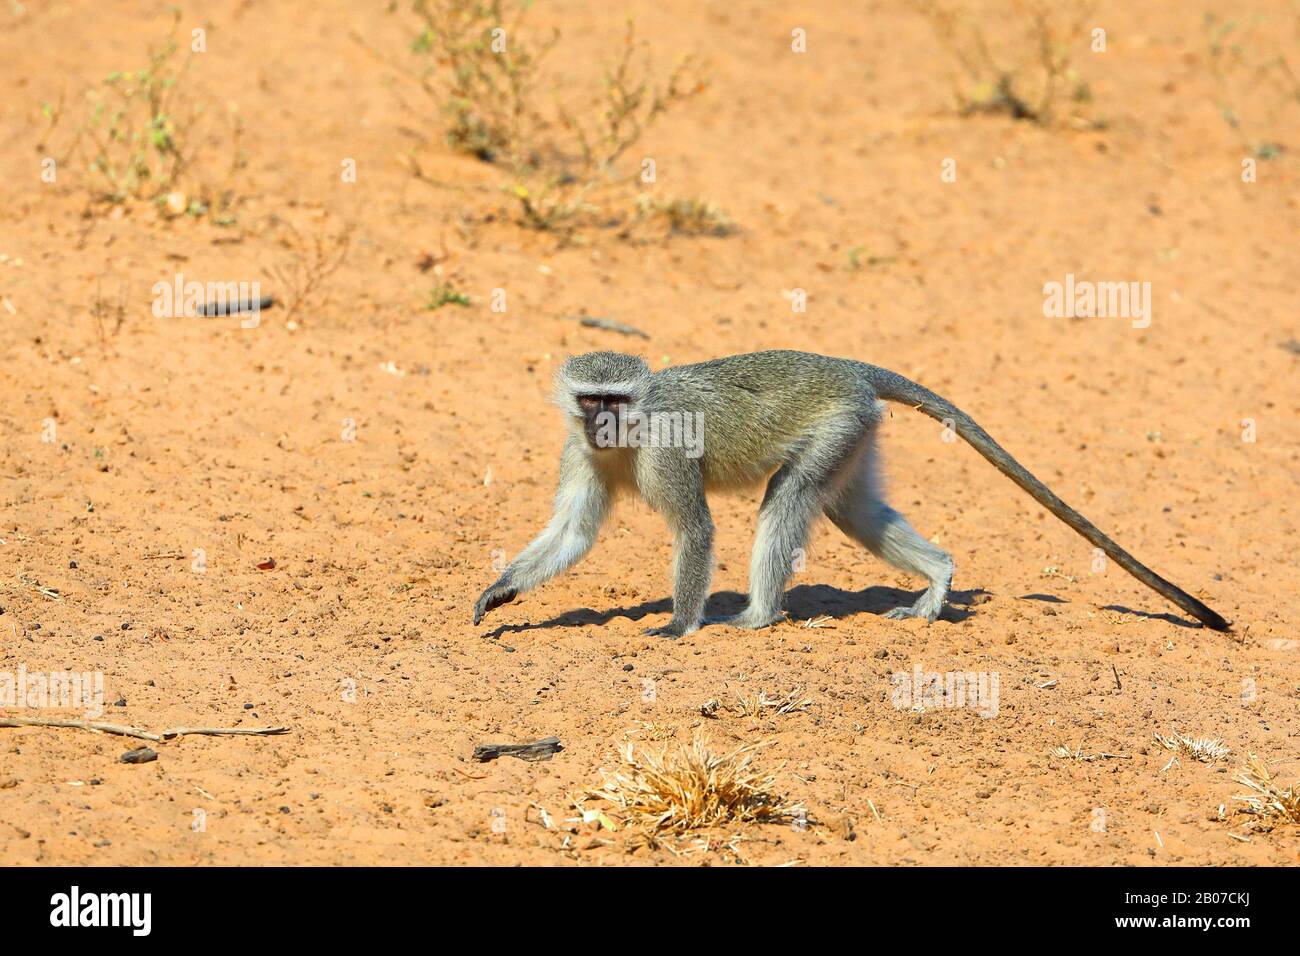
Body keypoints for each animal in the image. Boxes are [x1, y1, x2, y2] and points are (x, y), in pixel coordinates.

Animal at [473, 350, 1230, 637]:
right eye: (589, 399)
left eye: (617, 399)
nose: (601, 421)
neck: (623, 440)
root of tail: (846, 366)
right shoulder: (577, 450)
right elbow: (573, 534)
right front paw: (502, 592)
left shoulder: (664, 449)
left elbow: (695, 532)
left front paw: (678, 627)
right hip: (855, 432)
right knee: (850, 506)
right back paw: (937, 581)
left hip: (838, 422)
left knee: (790, 497)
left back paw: (759, 617)